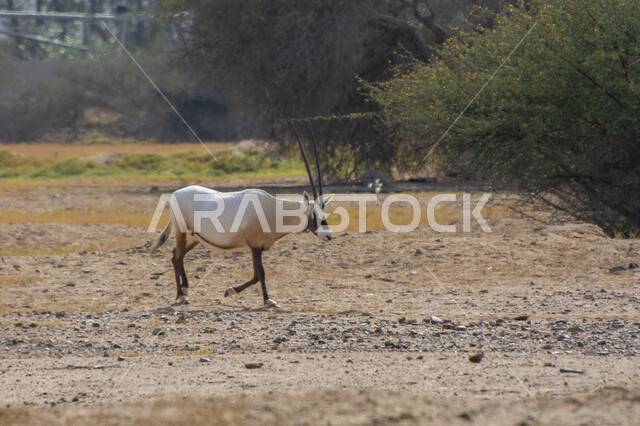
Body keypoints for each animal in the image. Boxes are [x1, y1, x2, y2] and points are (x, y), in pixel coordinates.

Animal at [151, 122, 333, 308]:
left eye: (324, 211)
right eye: (314, 214)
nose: (329, 236)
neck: (273, 209)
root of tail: (176, 193)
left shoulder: (257, 247)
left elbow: (256, 275)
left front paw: (233, 291)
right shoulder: (255, 246)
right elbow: (259, 274)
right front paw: (264, 299)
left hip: (194, 237)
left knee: (176, 255)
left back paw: (185, 291)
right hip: (181, 232)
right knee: (177, 257)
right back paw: (181, 295)